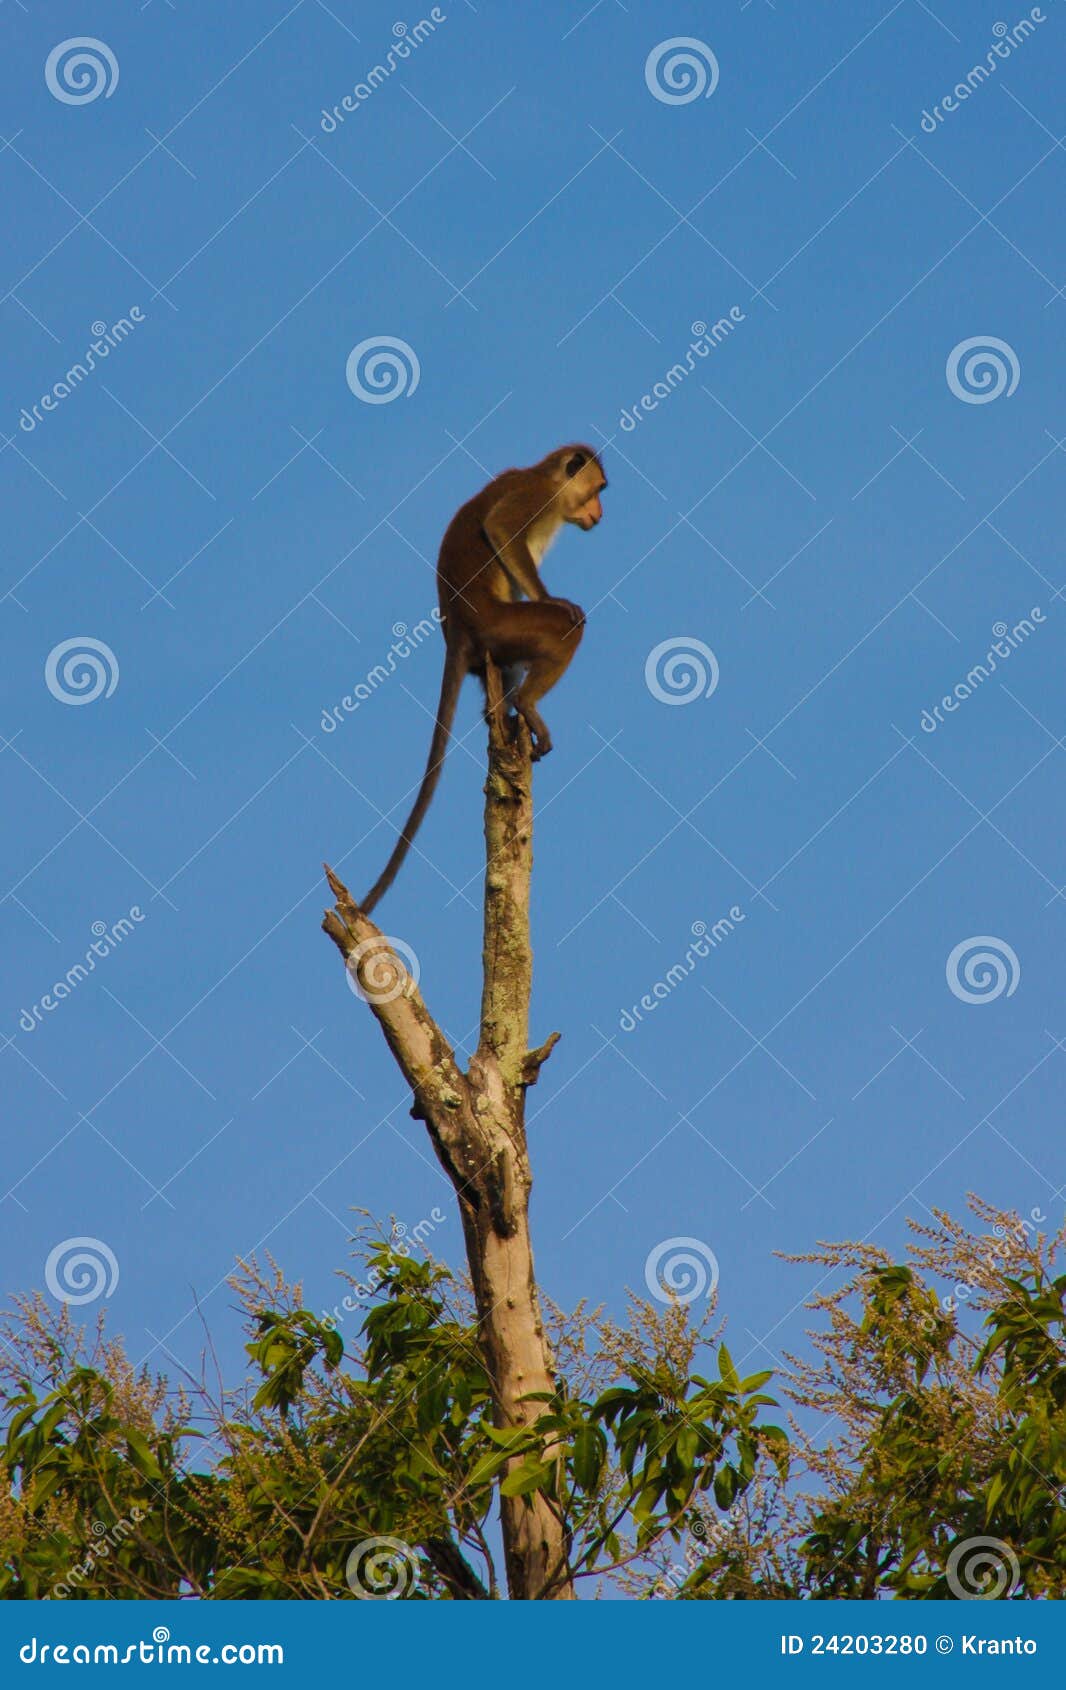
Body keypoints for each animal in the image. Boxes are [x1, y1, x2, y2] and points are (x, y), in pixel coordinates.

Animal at [361, 444, 607, 914]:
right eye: (599, 489)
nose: (600, 512)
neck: (550, 482)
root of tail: (457, 628)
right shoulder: (535, 496)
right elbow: (501, 528)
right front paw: (552, 597)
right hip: (501, 627)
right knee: (568, 630)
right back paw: (527, 703)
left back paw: (508, 713)